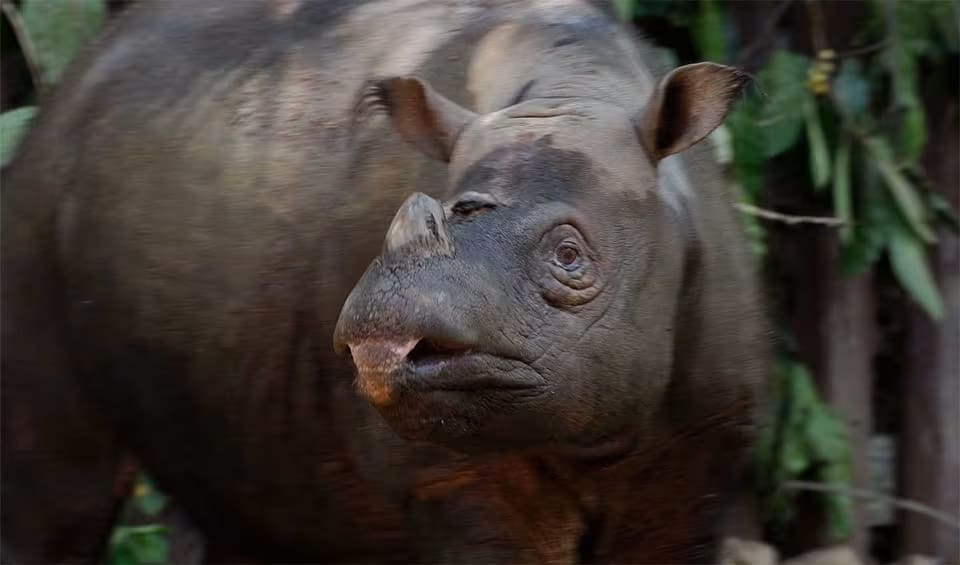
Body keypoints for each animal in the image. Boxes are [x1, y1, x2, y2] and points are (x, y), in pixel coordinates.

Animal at [1, 0, 769, 563]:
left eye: (571, 257)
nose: (387, 334)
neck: (575, 95)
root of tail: (76, 80)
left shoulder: (702, 453)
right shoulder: (448, 474)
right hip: (33, 204)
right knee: (57, 496)